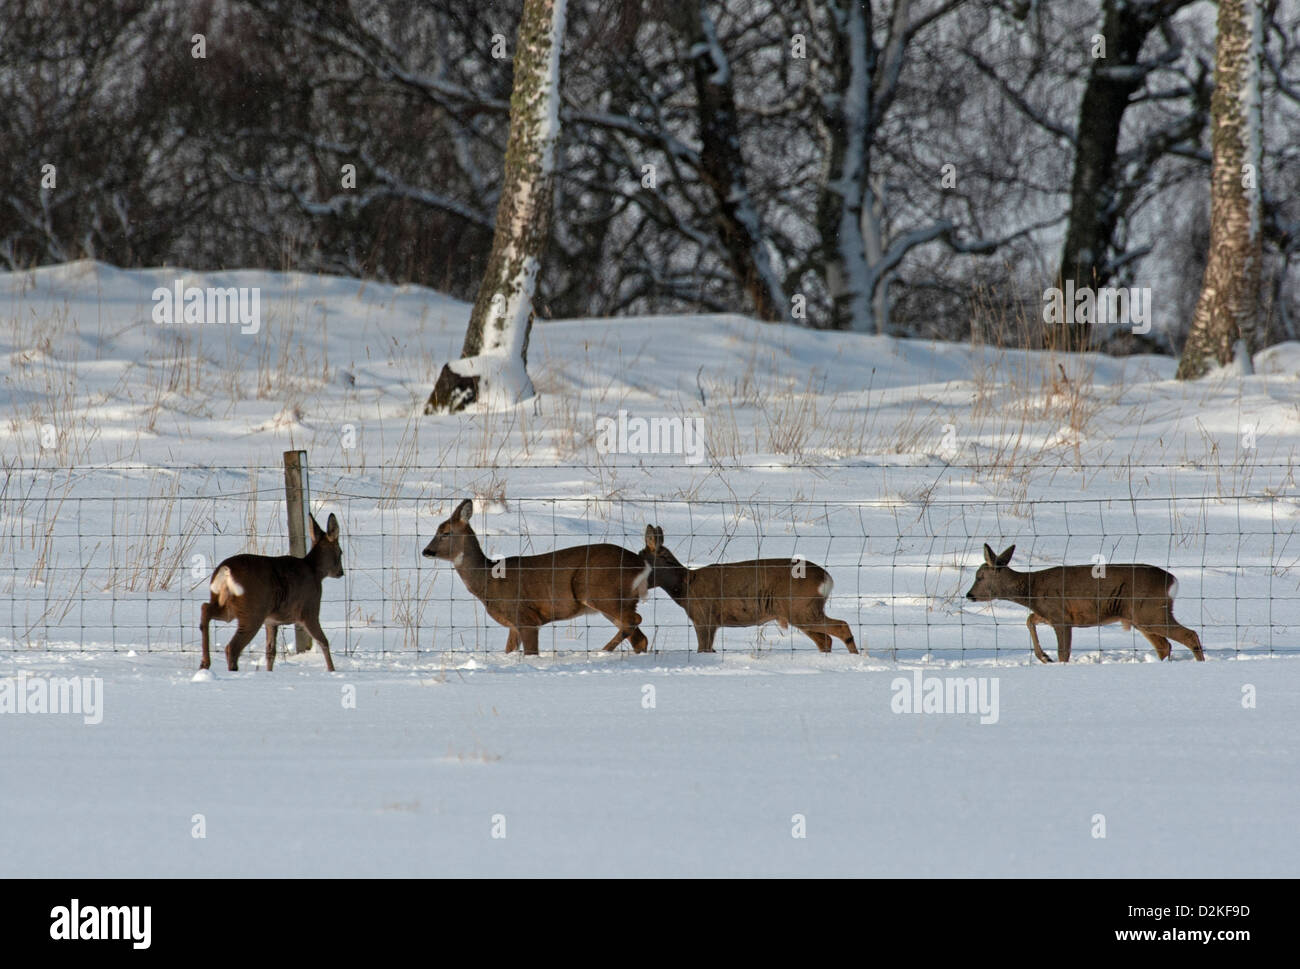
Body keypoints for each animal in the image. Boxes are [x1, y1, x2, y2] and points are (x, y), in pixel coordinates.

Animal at [199, 512, 344, 672]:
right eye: (341, 552)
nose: (341, 572)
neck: (315, 571)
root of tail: (226, 571)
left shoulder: (271, 621)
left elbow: (270, 652)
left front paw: (269, 672)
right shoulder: (309, 611)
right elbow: (323, 641)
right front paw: (332, 670)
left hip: (227, 604)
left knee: (205, 608)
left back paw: (205, 663)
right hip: (252, 610)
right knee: (232, 647)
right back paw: (231, 669)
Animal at [421, 499, 651, 656]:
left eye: (445, 533)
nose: (426, 551)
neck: (489, 579)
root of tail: (643, 565)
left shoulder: (526, 617)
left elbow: (531, 652)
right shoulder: (514, 625)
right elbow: (509, 650)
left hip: (602, 592)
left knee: (634, 621)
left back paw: (601, 651)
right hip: (618, 599)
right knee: (639, 637)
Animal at [638, 525, 860, 654]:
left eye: (638, 558)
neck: (685, 587)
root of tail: (827, 578)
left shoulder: (704, 617)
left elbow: (704, 649)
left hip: (801, 608)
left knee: (841, 627)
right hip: (801, 611)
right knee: (825, 640)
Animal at [964, 544, 1205, 663]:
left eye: (979, 577)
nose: (969, 595)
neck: (1031, 590)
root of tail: (1172, 580)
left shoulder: (1061, 616)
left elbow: (1064, 652)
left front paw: (1054, 660)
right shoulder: (1049, 613)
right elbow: (1029, 619)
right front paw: (1044, 657)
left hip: (1150, 611)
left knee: (1189, 635)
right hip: (1142, 616)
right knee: (1164, 646)